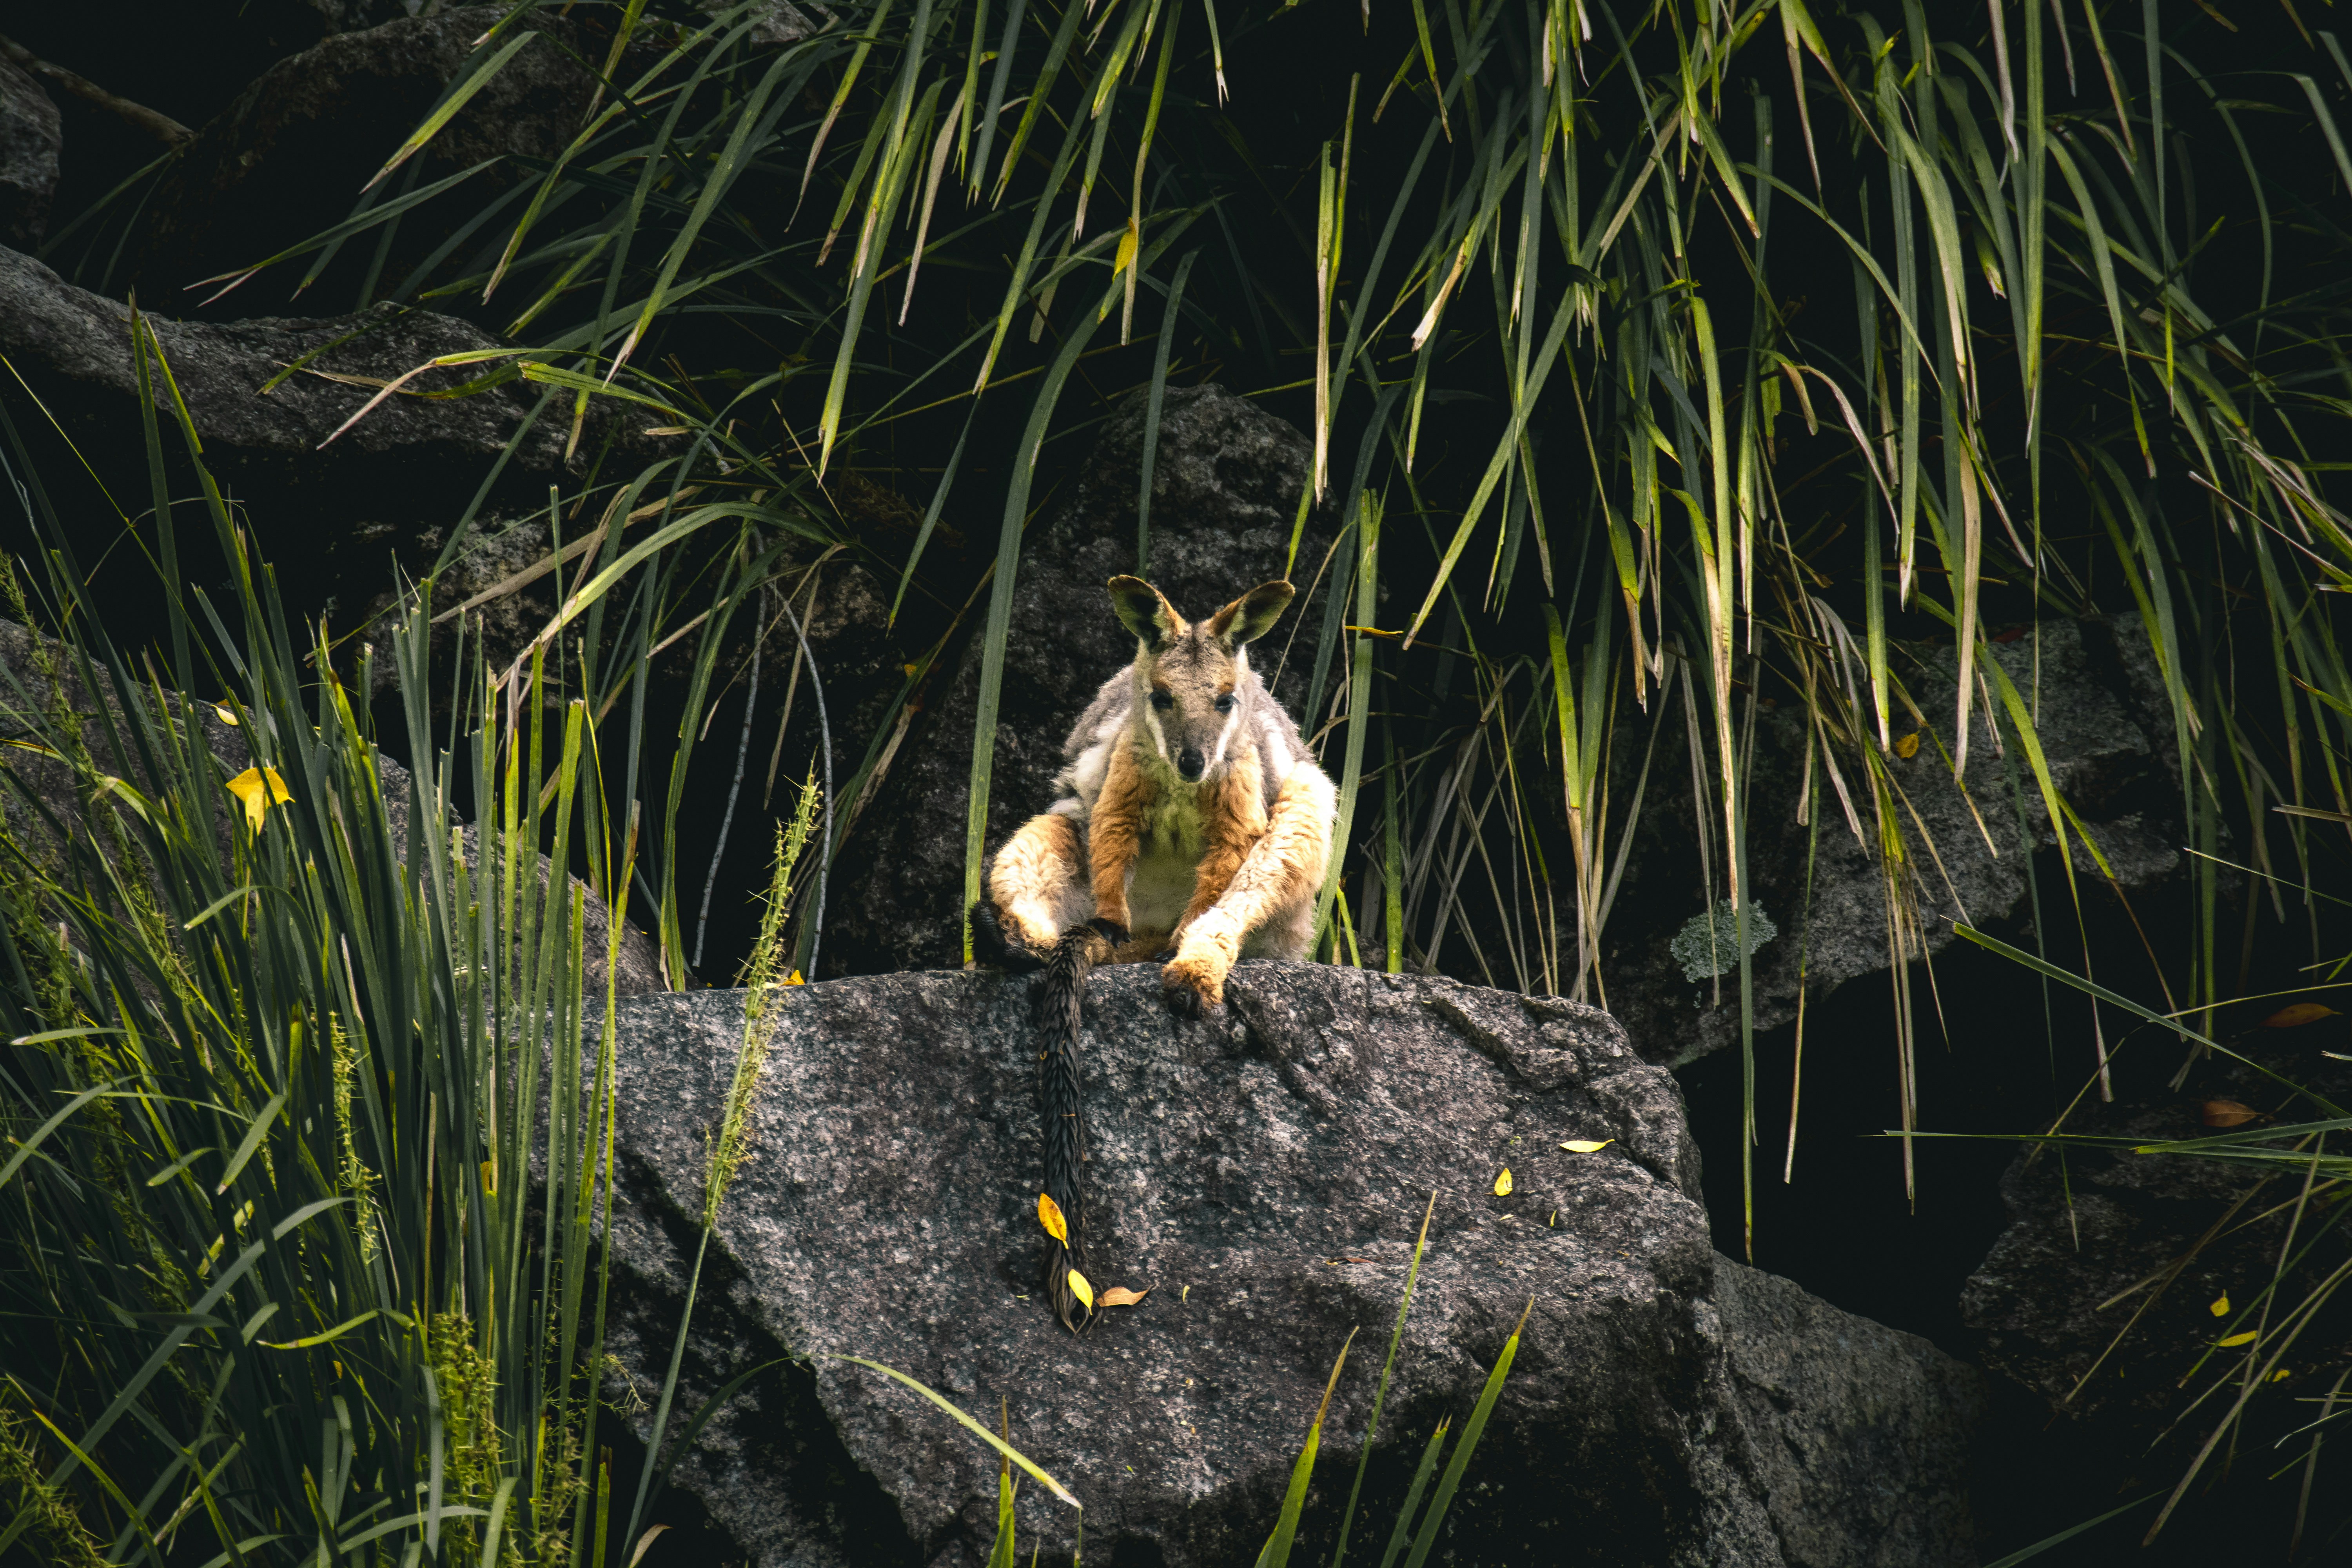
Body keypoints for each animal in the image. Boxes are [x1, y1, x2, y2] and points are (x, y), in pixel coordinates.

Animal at [968, 574, 1337, 1332]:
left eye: (1225, 701)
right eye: (1162, 698)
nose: (1194, 761)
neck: (1179, 784)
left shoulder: (1240, 797)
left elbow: (1226, 869)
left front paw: (1190, 953)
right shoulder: (1119, 783)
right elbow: (1113, 842)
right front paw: (1098, 926)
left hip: (1304, 813)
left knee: (1238, 899)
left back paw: (1191, 974)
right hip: (1056, 826)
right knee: (1044, 880)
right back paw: (1017, 940)